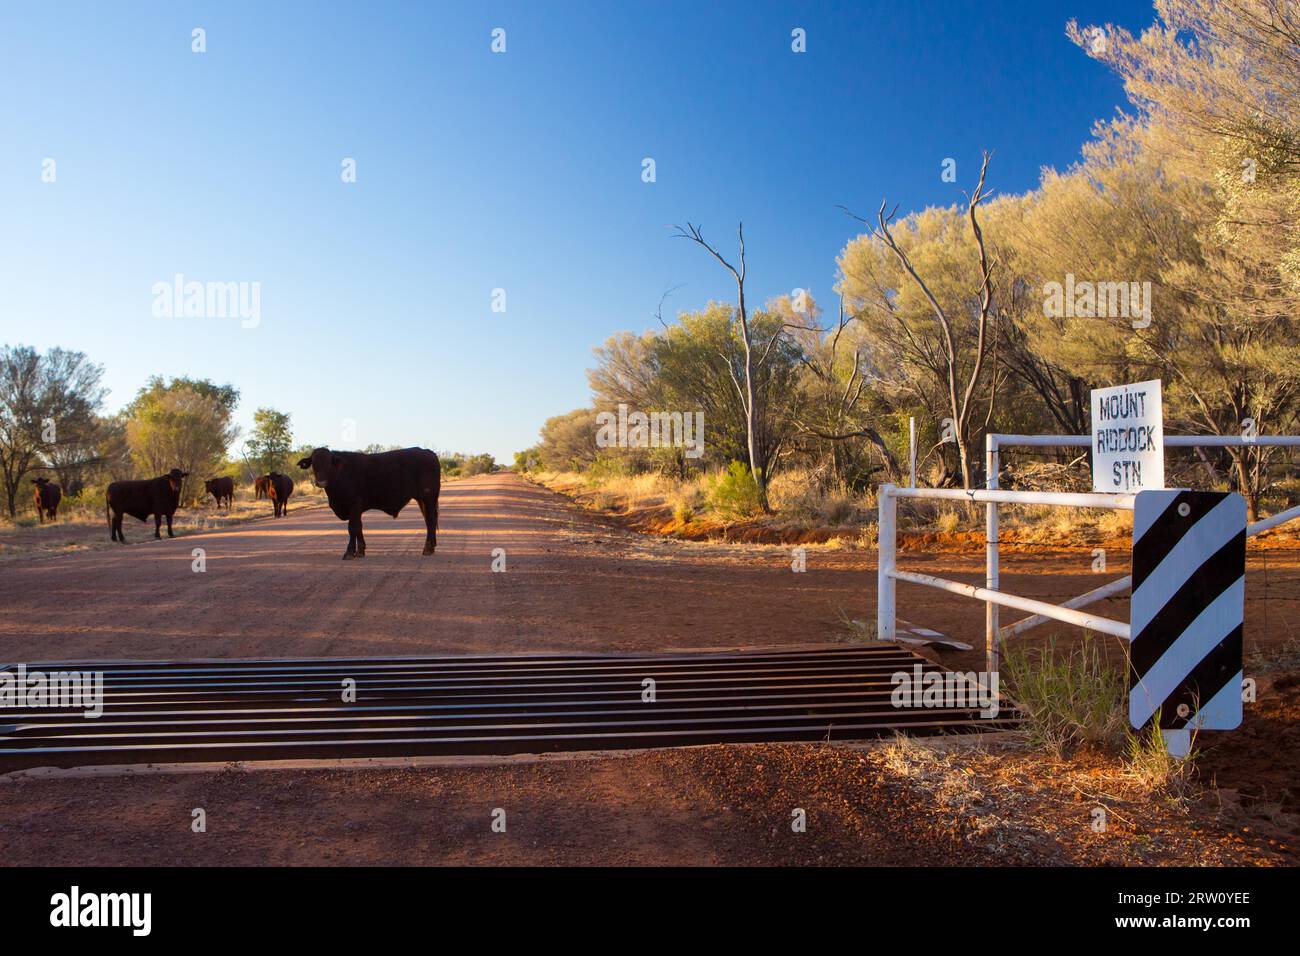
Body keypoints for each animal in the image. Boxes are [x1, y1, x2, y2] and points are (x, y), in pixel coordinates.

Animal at [297, 447, 440, 560]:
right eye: (314, 464)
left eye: (329, 463)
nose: (321, 482)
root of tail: (428, 452)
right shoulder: (356, 509)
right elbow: (359, 527)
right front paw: (360, 551)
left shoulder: (354, 504)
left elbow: (352, 527)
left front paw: (349, 552)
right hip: (422, 500)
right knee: (428, 520)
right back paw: (431, 547)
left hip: (429, 497)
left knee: (431, 520)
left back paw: (428, 549)